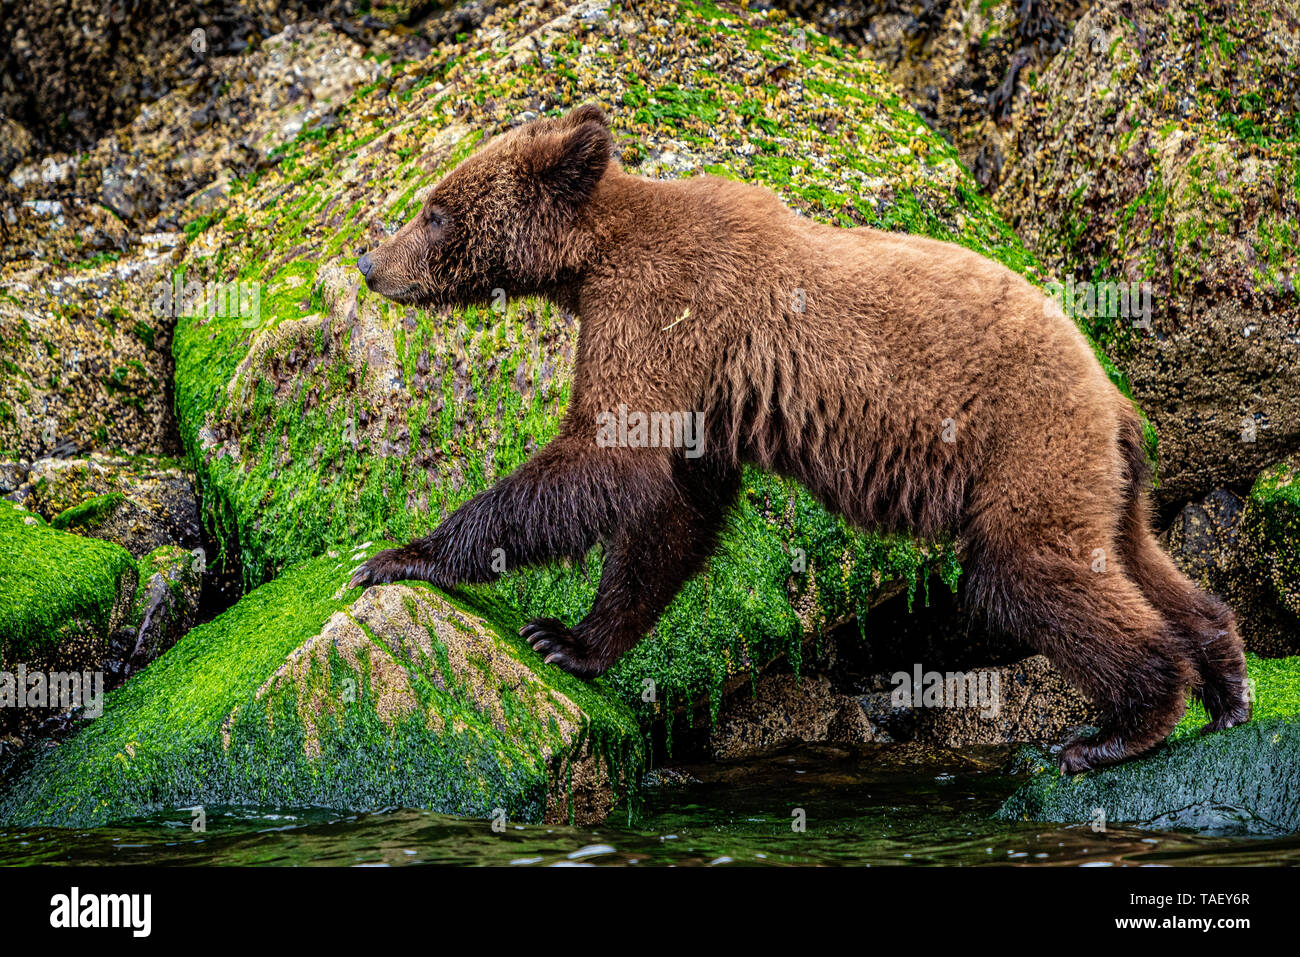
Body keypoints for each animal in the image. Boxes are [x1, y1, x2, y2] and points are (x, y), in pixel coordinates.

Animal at [351, 104, 1251, 772]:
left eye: (434, 211)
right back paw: (1226, 681)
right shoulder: (704, 391)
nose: (369, 262)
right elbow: (675, 510)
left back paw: (1117, 728)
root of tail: (1112, 394)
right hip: (1099, 473)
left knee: (1028, 572)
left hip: (1025, 443)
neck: (590, 263)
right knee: (1137, 558)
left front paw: (405, 555)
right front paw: (573, 640)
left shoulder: (664, 309)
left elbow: (607, 456)